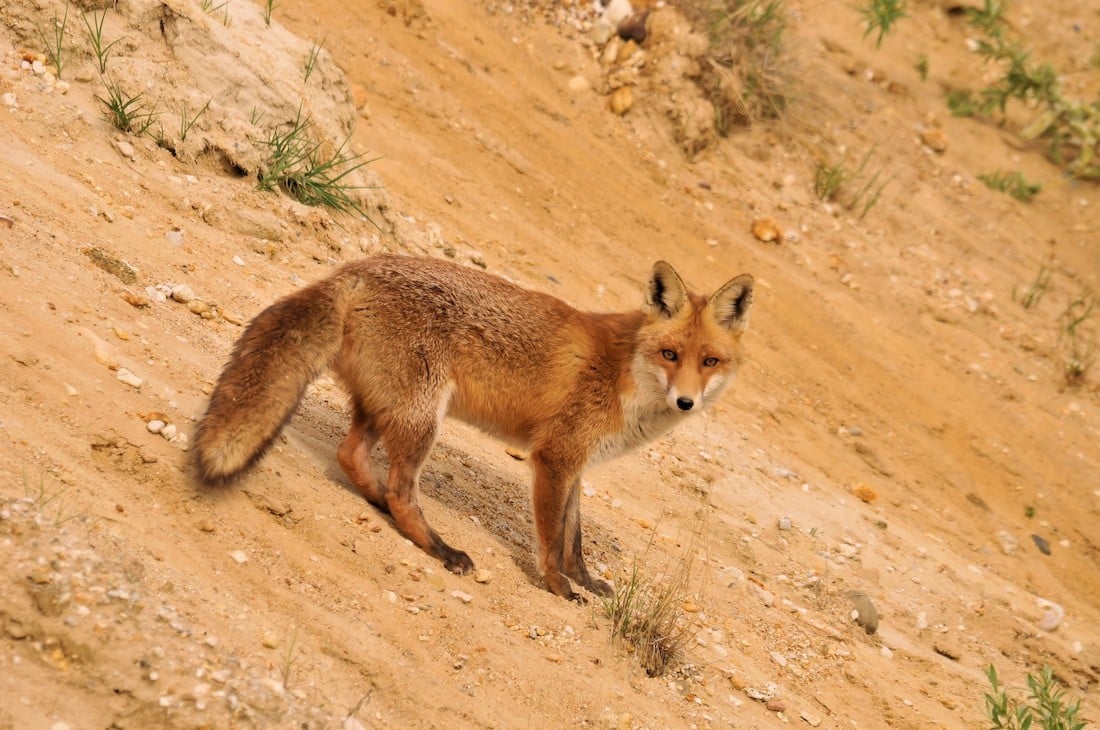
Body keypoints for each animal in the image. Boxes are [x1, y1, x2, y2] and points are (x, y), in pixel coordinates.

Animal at [192, 254, 754, 601]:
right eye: (669, 354)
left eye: (709, 360)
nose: (685, 401)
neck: (625, 371)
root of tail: (358, 268)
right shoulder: (555, 457)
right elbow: (551, 540)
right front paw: (558, 588)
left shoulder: (576, 464)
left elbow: (573, 539)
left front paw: (587, 582)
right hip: (423, 416)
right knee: (401, 490)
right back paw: (439, 548)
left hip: (389, 407)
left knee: (352, 457)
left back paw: (380, 506)